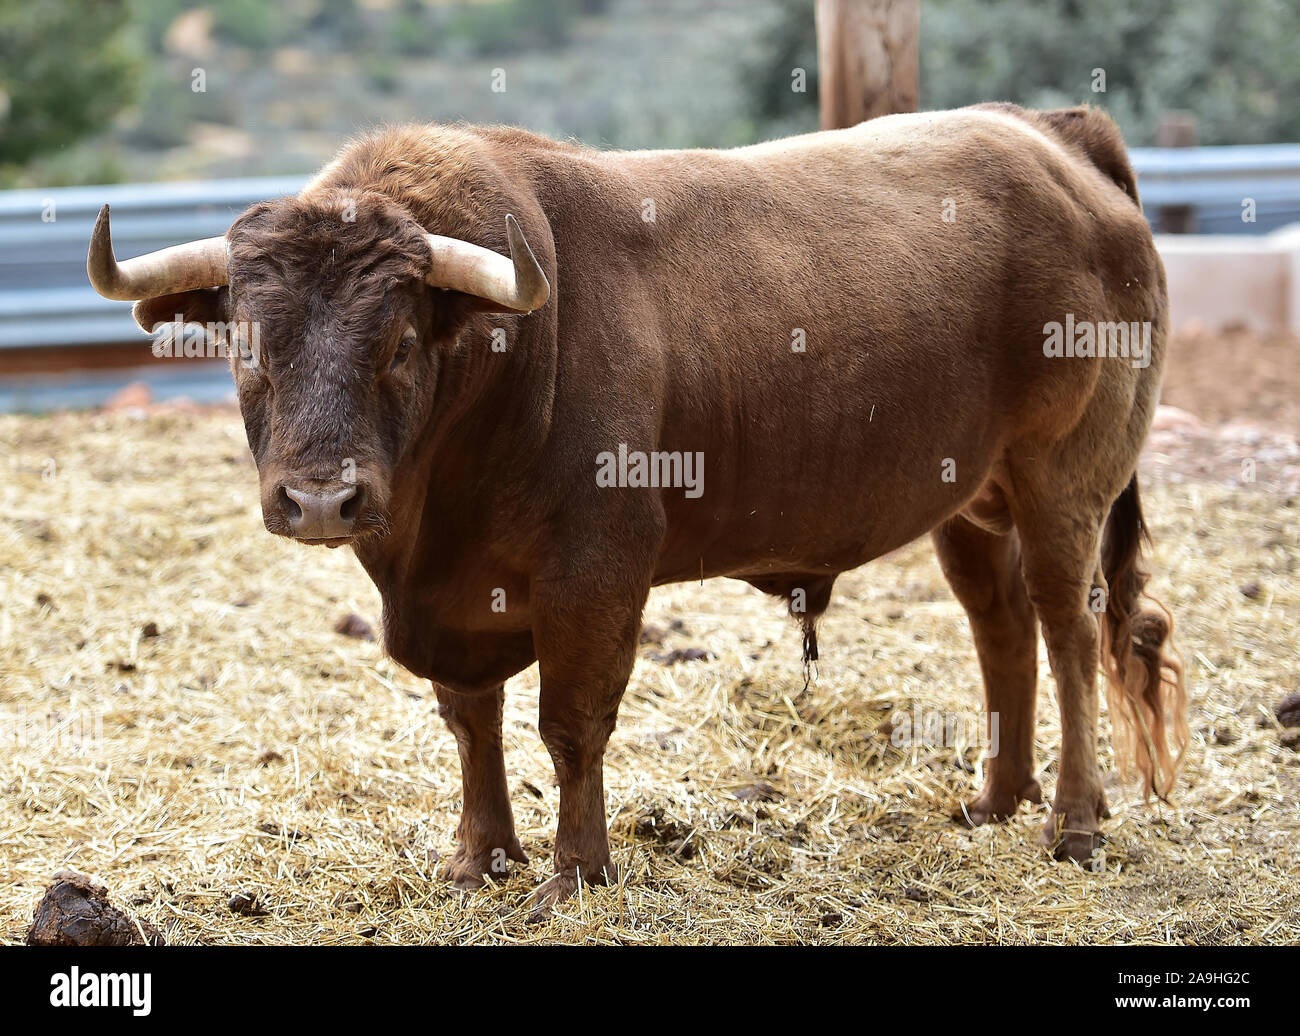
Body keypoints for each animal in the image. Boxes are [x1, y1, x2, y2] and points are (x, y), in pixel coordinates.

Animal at [87, 103, 1187, 915]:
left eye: (398, 344)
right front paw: (480, 858)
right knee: (999, 630)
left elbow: (571, 724)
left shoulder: (596, 570)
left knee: (1067, 631)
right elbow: (470, 721)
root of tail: (1050, 135)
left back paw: (1073, 823)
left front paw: (575, 872)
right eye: (245, 344)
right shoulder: (454, 600)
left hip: (1063, 485)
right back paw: (996, 799)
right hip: (972, 501)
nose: (322, 497)